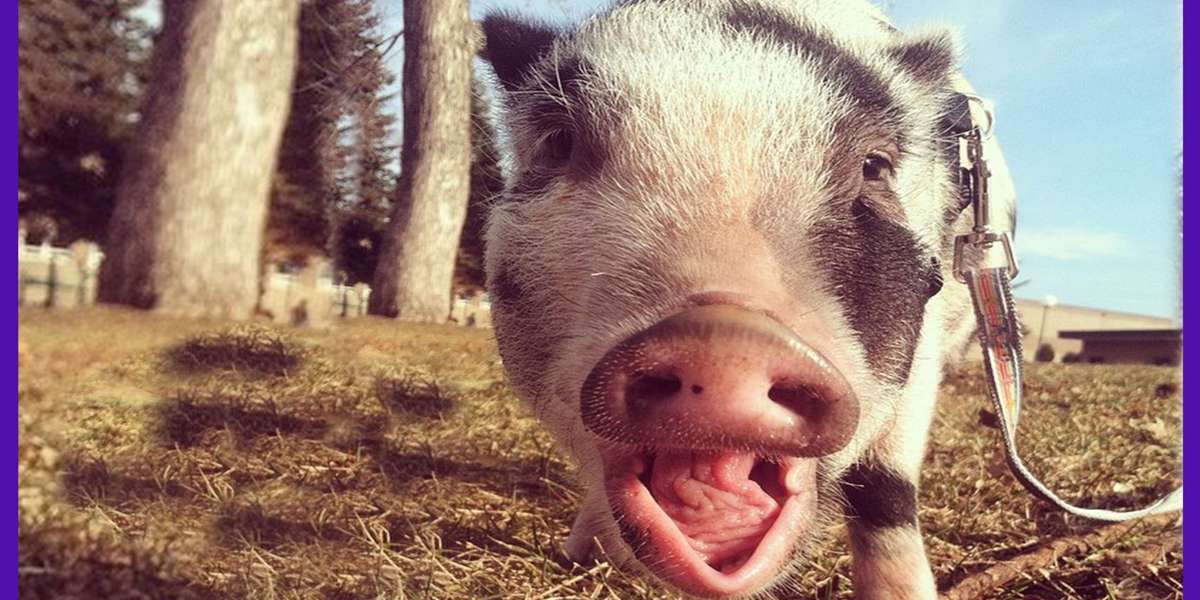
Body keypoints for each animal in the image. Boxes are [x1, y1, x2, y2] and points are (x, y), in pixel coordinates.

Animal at [478, 1, 1016, 598]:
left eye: (875, 165)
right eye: (558, 142)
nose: (726, 338)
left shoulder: (925, 337)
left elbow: (884, 483)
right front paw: (579, 556)